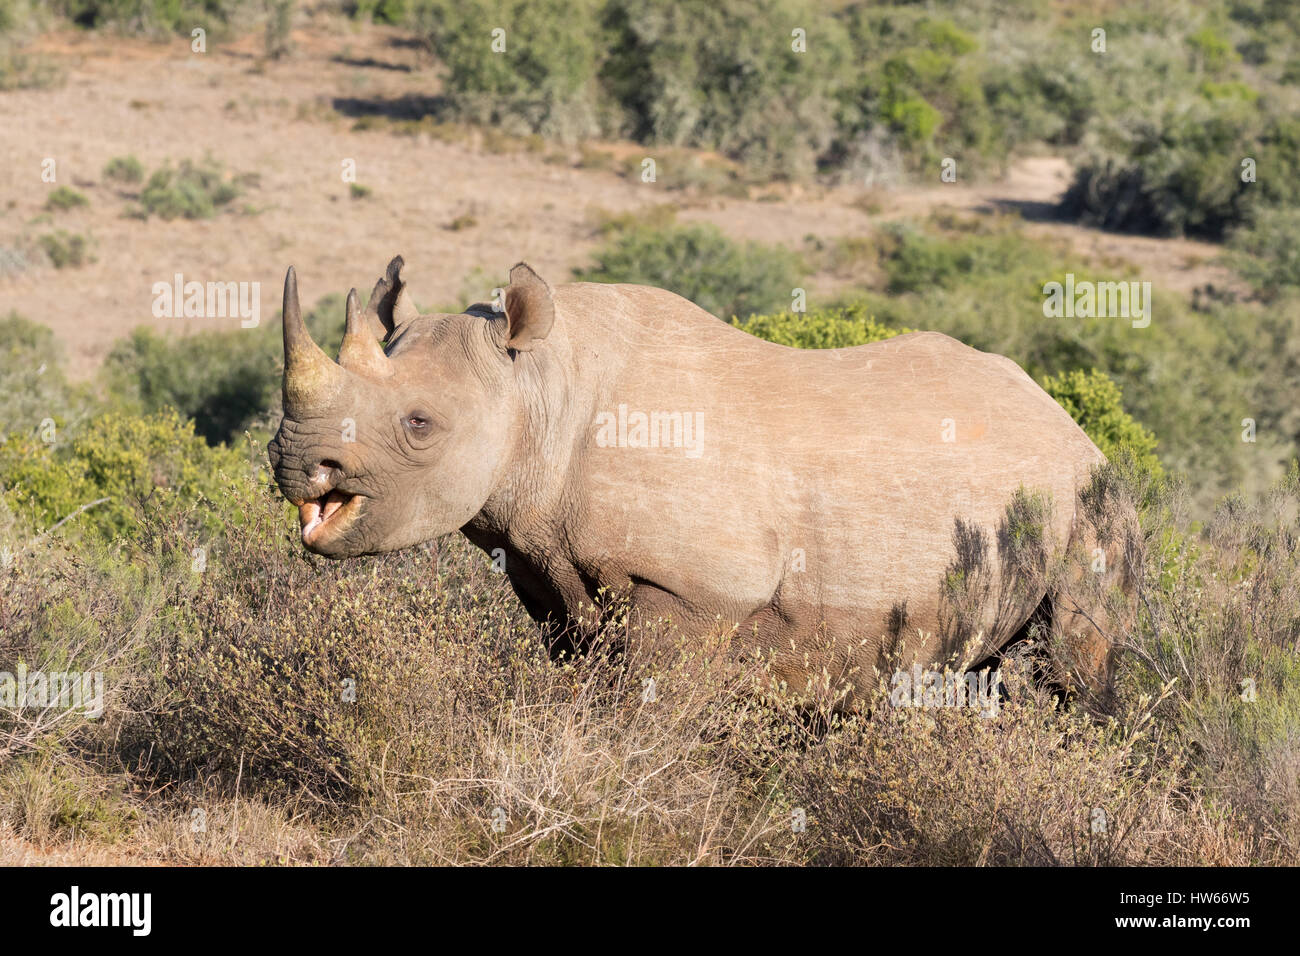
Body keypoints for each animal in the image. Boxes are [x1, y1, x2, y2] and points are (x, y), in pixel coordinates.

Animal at [268, 257, 1130, 702]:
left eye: (419, 425)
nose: (292, 462)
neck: (538, 387)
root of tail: (1066, 418)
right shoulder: (549, 571)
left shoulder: (691, 589)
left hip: (1093, 500)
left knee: (1076, 657)